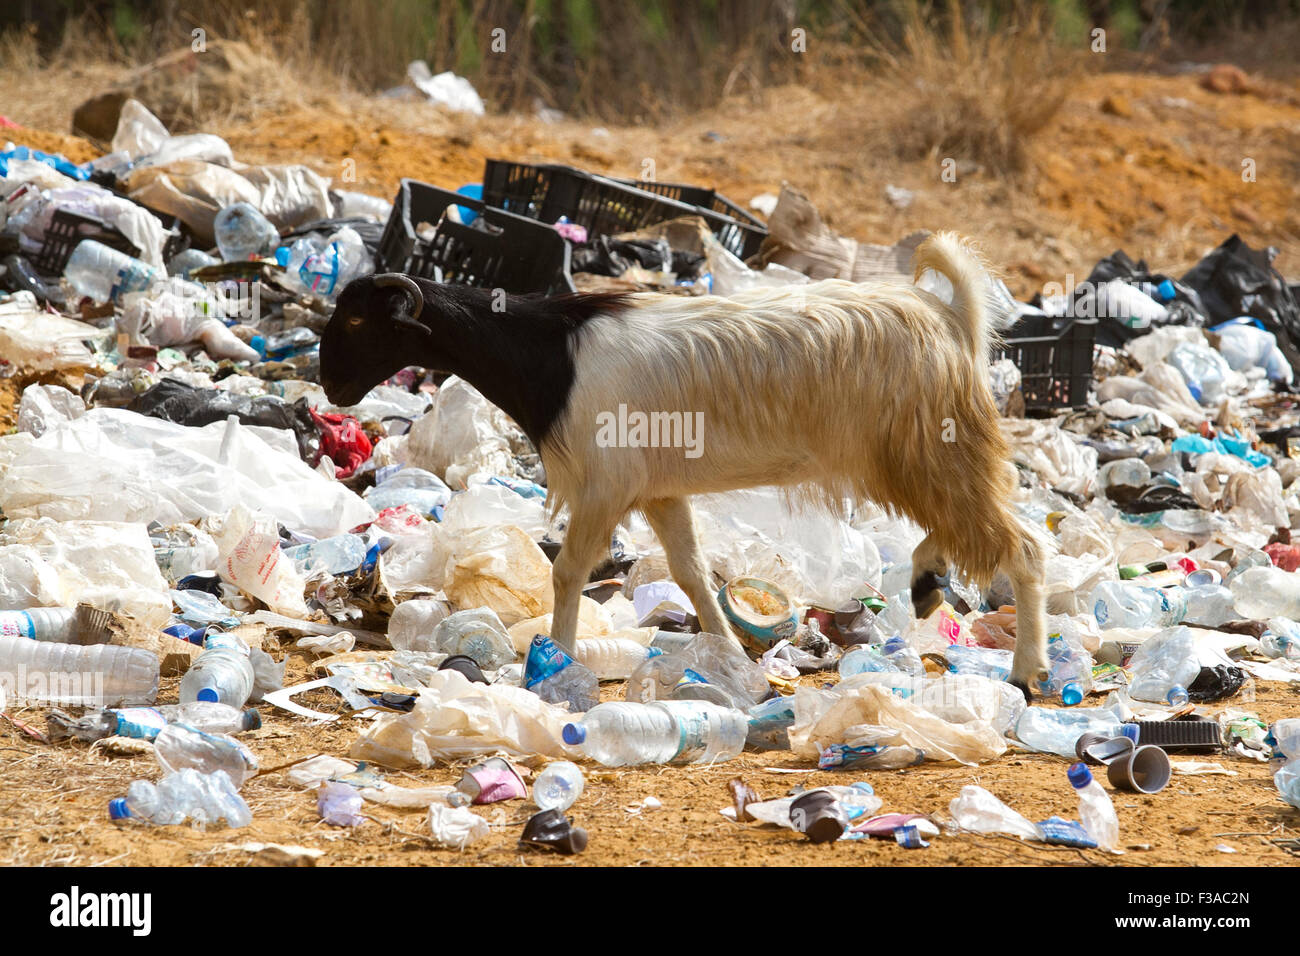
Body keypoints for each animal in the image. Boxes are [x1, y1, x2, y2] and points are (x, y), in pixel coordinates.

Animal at [319, 233, 1050, 698]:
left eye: (356, 321)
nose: (329, 385)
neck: (553, 353)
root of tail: (951, 318)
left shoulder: (606, 484)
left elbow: (568, 573)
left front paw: (555, 663)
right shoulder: (657, 490)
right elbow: (694, 575)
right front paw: (730, 657)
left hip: (933, 450)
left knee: (1021, 546)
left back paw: (1025, 669)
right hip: (927, 456)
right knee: (966, 532)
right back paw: (926, 582)